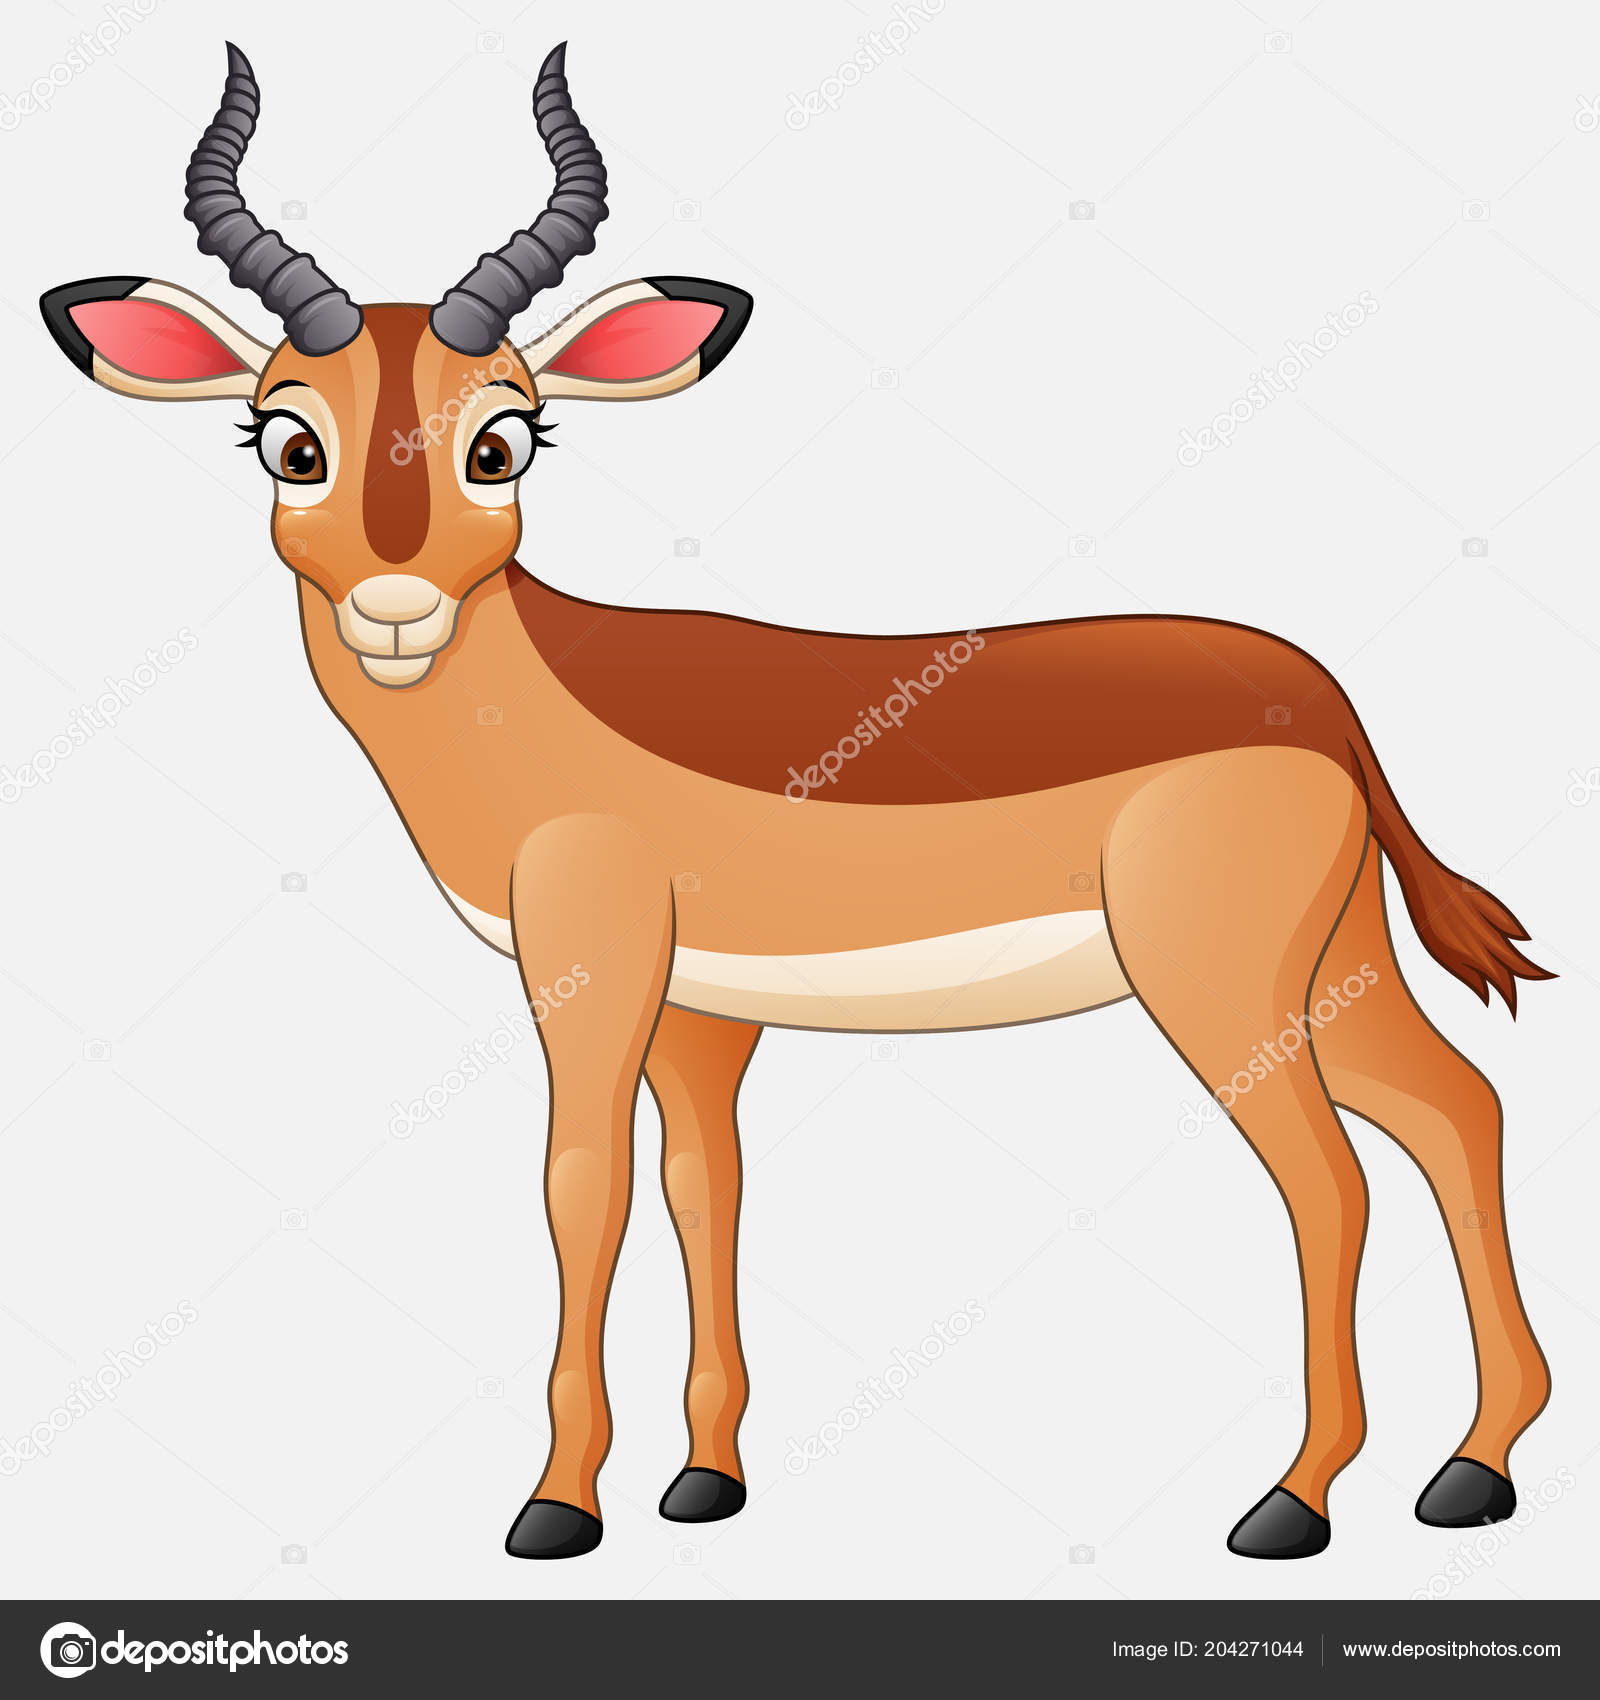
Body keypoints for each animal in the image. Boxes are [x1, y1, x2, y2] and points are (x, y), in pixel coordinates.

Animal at [41, 42, 1554, 1563]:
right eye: (285, 440)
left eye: (506, 440)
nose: (393, 605)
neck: (538, 709)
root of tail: (1324, 704)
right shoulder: (702, 1010)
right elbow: (704, 1187)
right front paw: (704, 1481)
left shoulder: (590, 965)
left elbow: (580, 1183)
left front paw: (556, 1505)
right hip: (1332, 968)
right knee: (1457, 1109)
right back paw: (1471, 1471)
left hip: (1217, 986)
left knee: (1331, 1176)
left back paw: (1292, 1501)